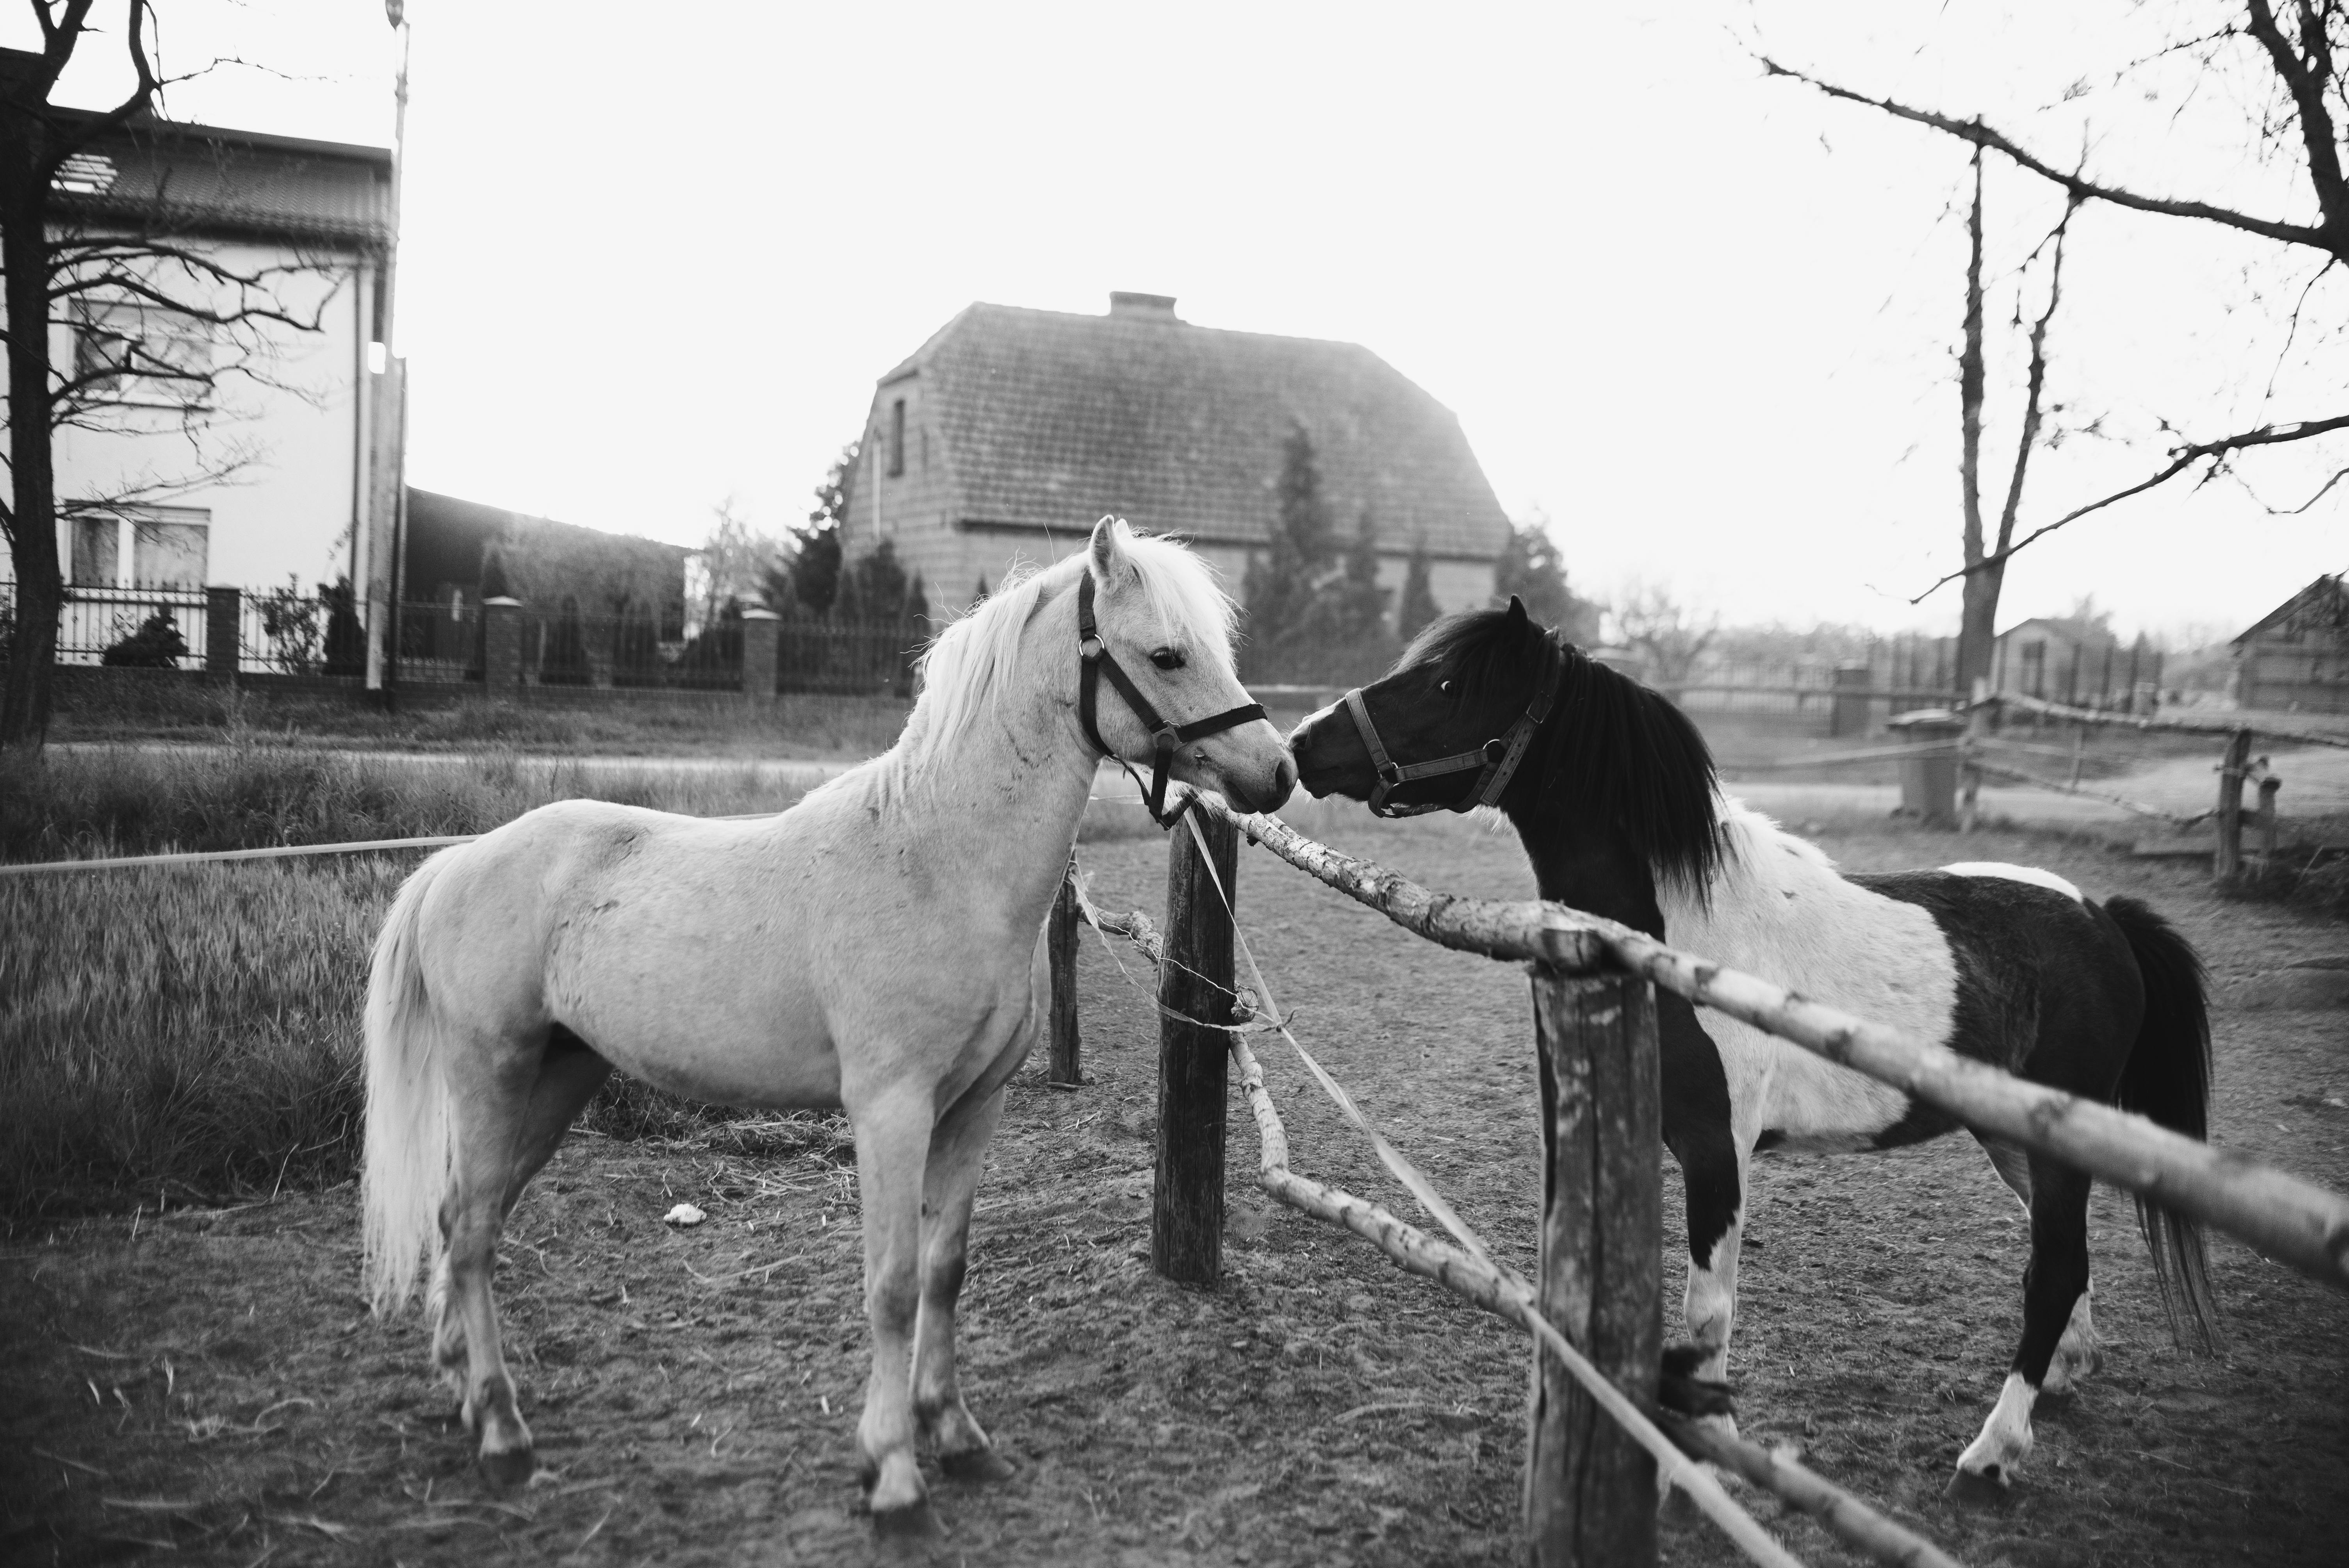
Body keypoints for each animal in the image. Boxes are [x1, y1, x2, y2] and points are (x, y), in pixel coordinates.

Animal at [360, 517, 1295, 1537]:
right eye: (1166, 654)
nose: (1278, 771)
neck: (940, 863)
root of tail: (455, 863)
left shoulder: (974, 1108)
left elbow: (944, 1270)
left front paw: (954, 1432)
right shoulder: (890, 1111)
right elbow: (890, 1286)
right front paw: (892, 1475)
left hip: (558, 1077)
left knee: (467, 1218)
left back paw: (464, 1389)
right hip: (490, 1074)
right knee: (473, 1232)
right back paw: (501, 1431)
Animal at [1286, 597, 2218, 1500]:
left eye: (1448, 685)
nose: (1303, 742)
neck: (1674, 936)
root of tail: (2103, 919)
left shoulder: (1716, 1152)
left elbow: (1707, 1314)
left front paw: (1699, 1461)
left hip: (2048, 1148)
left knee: (2052, 1270)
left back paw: (1991, 1454)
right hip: (2014, 1138)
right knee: (2064, 1256)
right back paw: (2061, 1377)